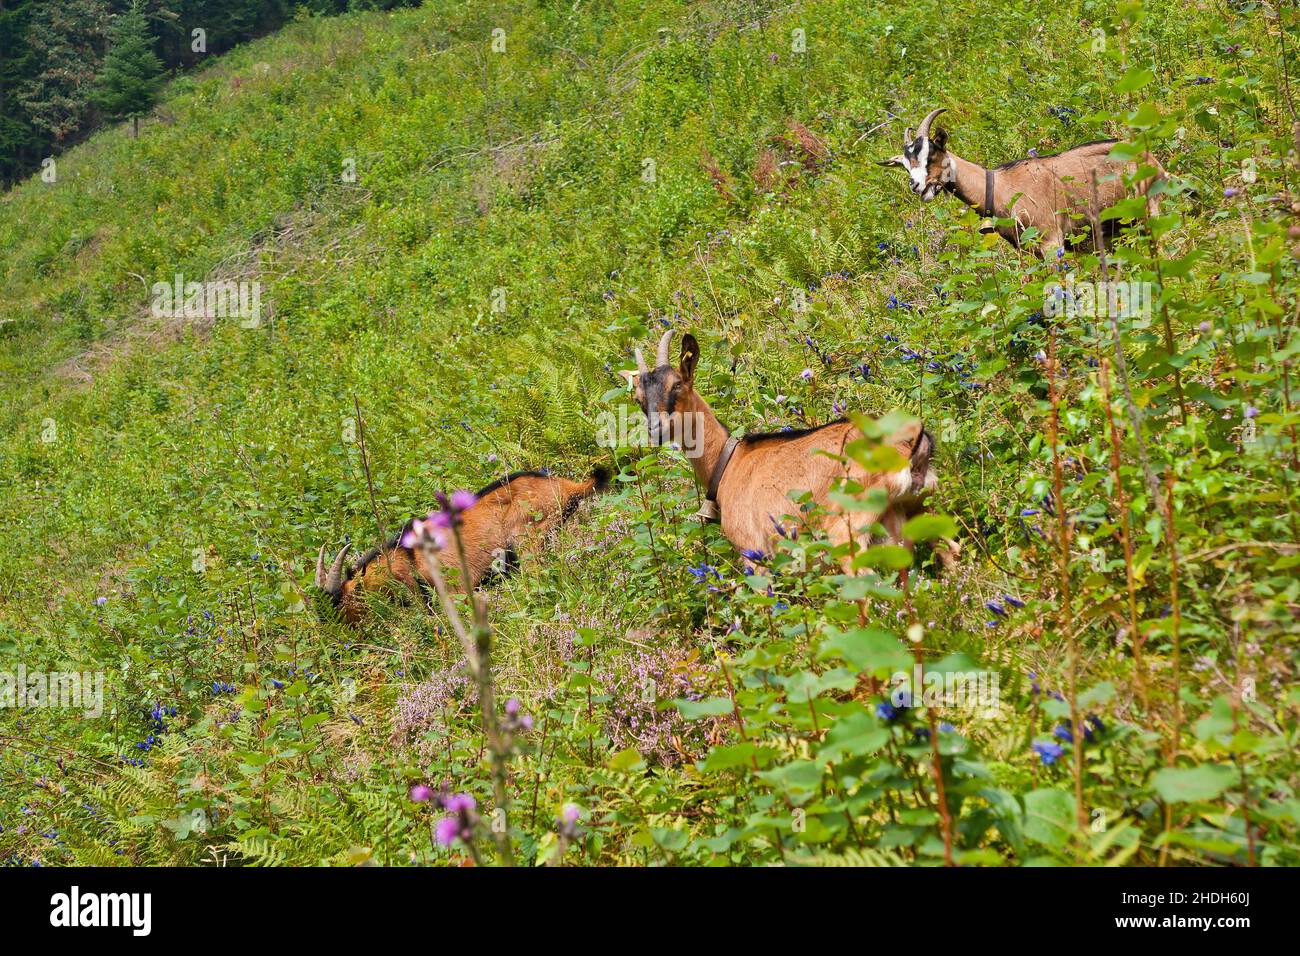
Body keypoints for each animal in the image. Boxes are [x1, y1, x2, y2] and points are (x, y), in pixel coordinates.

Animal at [621, 330, 951, 574]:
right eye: (638, 398)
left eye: (677, 384)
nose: (656, 429)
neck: (728, 463)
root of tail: (909, 444)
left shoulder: (753, 552)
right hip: (919, 508)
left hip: (848, 527)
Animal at [878, 108, 1166, 258]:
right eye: (905, 166)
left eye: (932, 153)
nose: (916, 186)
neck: (1000, 187)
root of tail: (1152, 159)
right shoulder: (1027, 250)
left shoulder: (1051, 241)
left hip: (1149, 207)